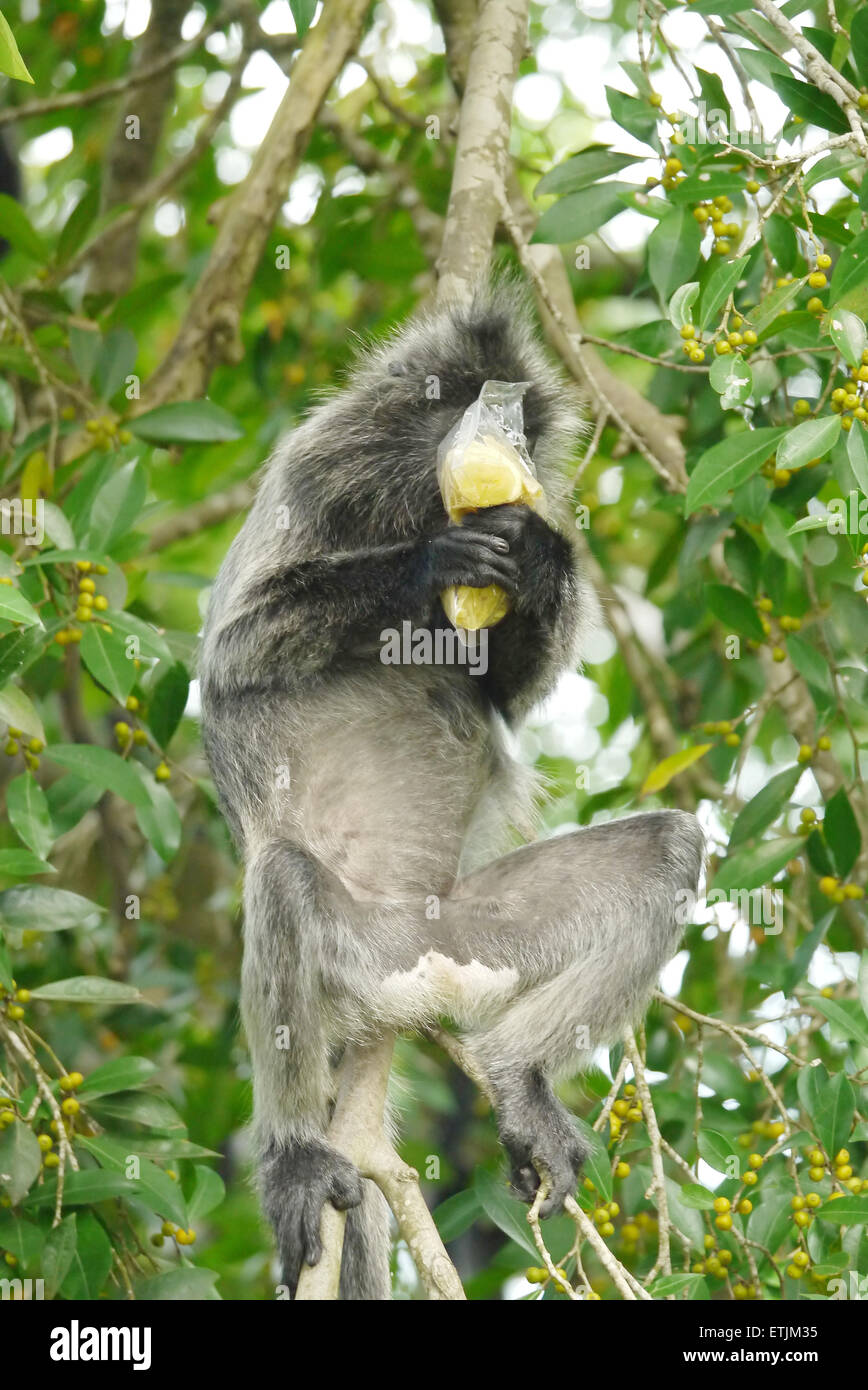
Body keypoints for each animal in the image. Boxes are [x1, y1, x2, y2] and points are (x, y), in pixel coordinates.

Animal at [198, 277, 704, 1300]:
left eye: (516, 411)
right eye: (461, 397)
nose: (500, 434)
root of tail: (408, 966)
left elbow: (504, 690)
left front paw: (537, 556)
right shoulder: (311, 477)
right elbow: (233, 652)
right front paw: (433, 563)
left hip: (472, 934)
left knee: (670, 849)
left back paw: (517, 1078)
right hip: (354, 940)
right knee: (282, 880)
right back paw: (297, 1158)